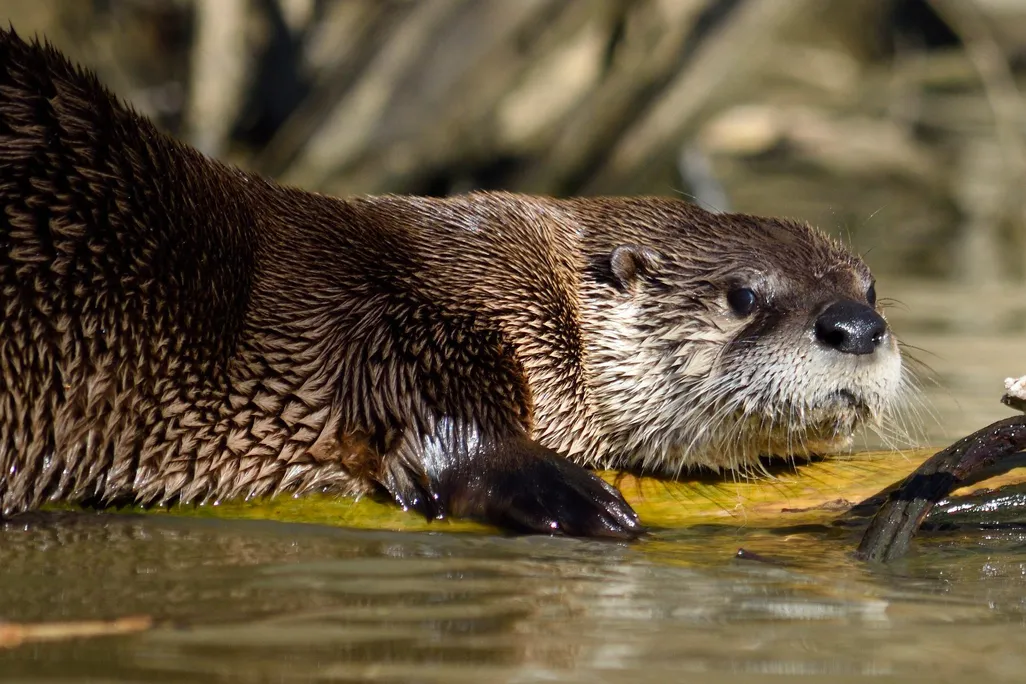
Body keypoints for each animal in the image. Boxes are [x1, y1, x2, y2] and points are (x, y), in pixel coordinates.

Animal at [0, 29, 906, 538]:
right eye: (744, 295)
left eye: (870, 289)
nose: (854, 327)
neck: (519, 286)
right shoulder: (409, 310)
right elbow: (439, 411)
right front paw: (574, 498)